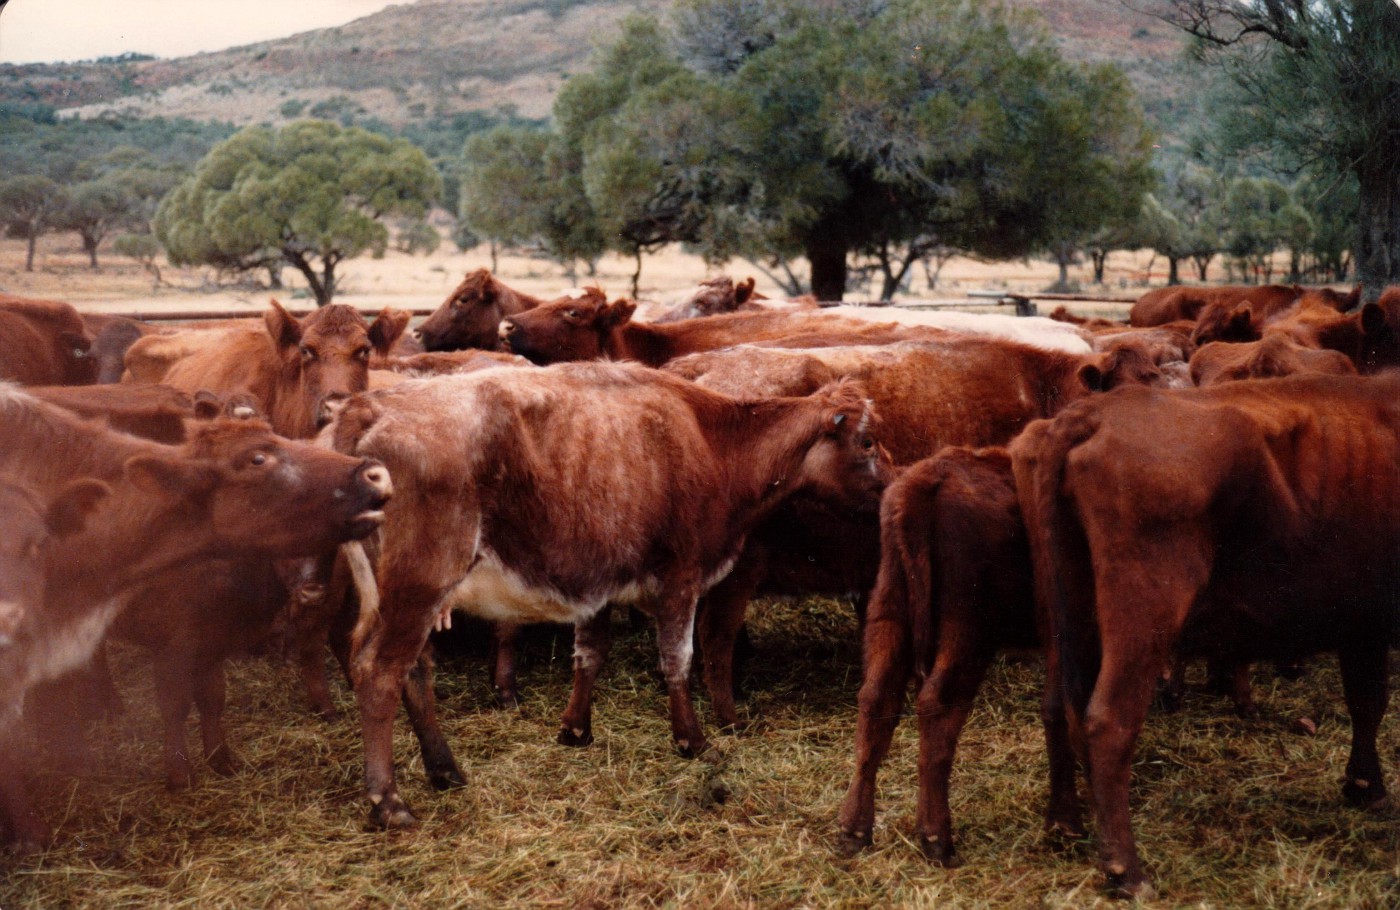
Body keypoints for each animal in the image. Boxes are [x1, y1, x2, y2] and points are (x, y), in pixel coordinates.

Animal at [0, 386, 393, 850]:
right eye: (257, 458)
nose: (374, 474)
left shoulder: (213, 642)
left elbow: (212, 699)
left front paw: (220, 758)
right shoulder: (173, 647)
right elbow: (174, 706)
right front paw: (179, 772)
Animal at [321, 362, 888, 828]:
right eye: (867, 441)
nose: (897, 480)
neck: (709, 439)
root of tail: (370, 405)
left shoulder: (597, 584)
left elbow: (588, 654)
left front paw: (575, 729)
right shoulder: (680, 576)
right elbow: (677, 658)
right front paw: (693, 738)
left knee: (415, 672)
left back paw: (444, 770)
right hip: (416, 588)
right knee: (379, 673)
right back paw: (389, 802)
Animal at [1009, 371, 1400, 898]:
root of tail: (1089, 414)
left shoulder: (1363, 622)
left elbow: (1366, 701)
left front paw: (1364, 787)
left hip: (1064, 611)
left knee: (1056, 709)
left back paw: (1064, 825)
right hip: (1143, 614)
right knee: (1108, 722)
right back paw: (1127, 872)